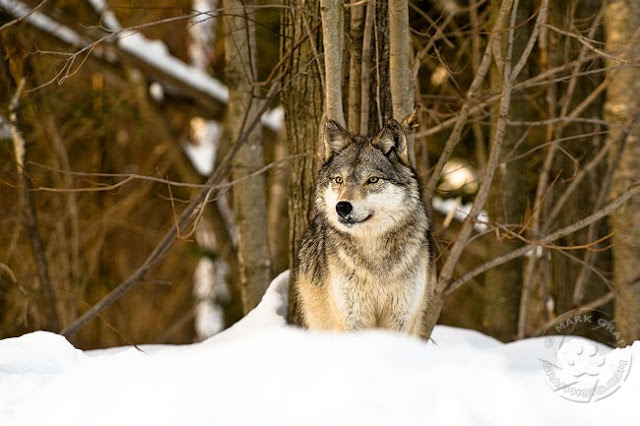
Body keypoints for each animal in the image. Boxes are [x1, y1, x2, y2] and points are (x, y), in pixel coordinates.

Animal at [296, 118, 436, 337]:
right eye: (339, 180)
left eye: (373, 180)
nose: (342, 207)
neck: (374, 253)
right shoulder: (351, 318)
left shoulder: (402, 318)